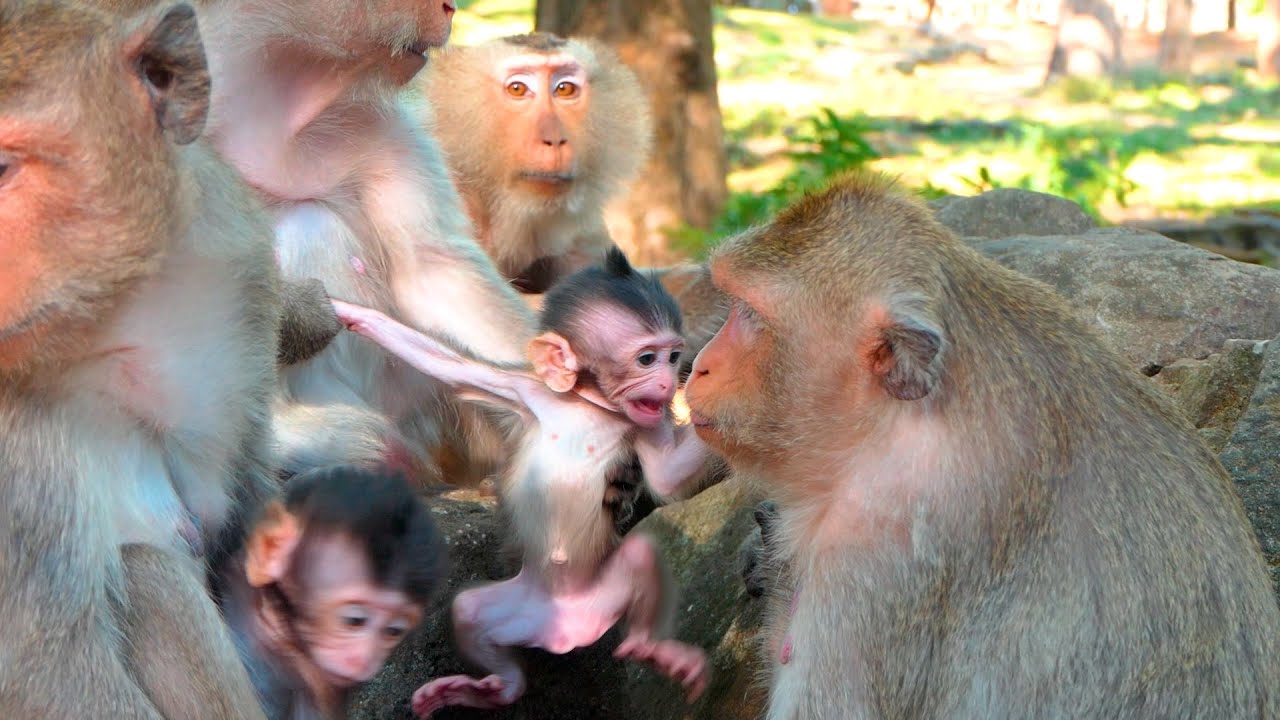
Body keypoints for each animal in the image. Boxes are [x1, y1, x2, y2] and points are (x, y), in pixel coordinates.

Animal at [331, 248, 717, 716]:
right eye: (647, 359)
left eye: (674, 356)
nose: (666, 383)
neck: (588, 406)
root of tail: (569, 628)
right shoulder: (522, 390)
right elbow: (446, 366)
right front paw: (351, 313)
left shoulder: (646, 423)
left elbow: (668, 476)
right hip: (520, 608)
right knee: (469, 609)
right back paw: (496, 687)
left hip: (603, 592)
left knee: (641, 555)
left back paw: (651, 647)